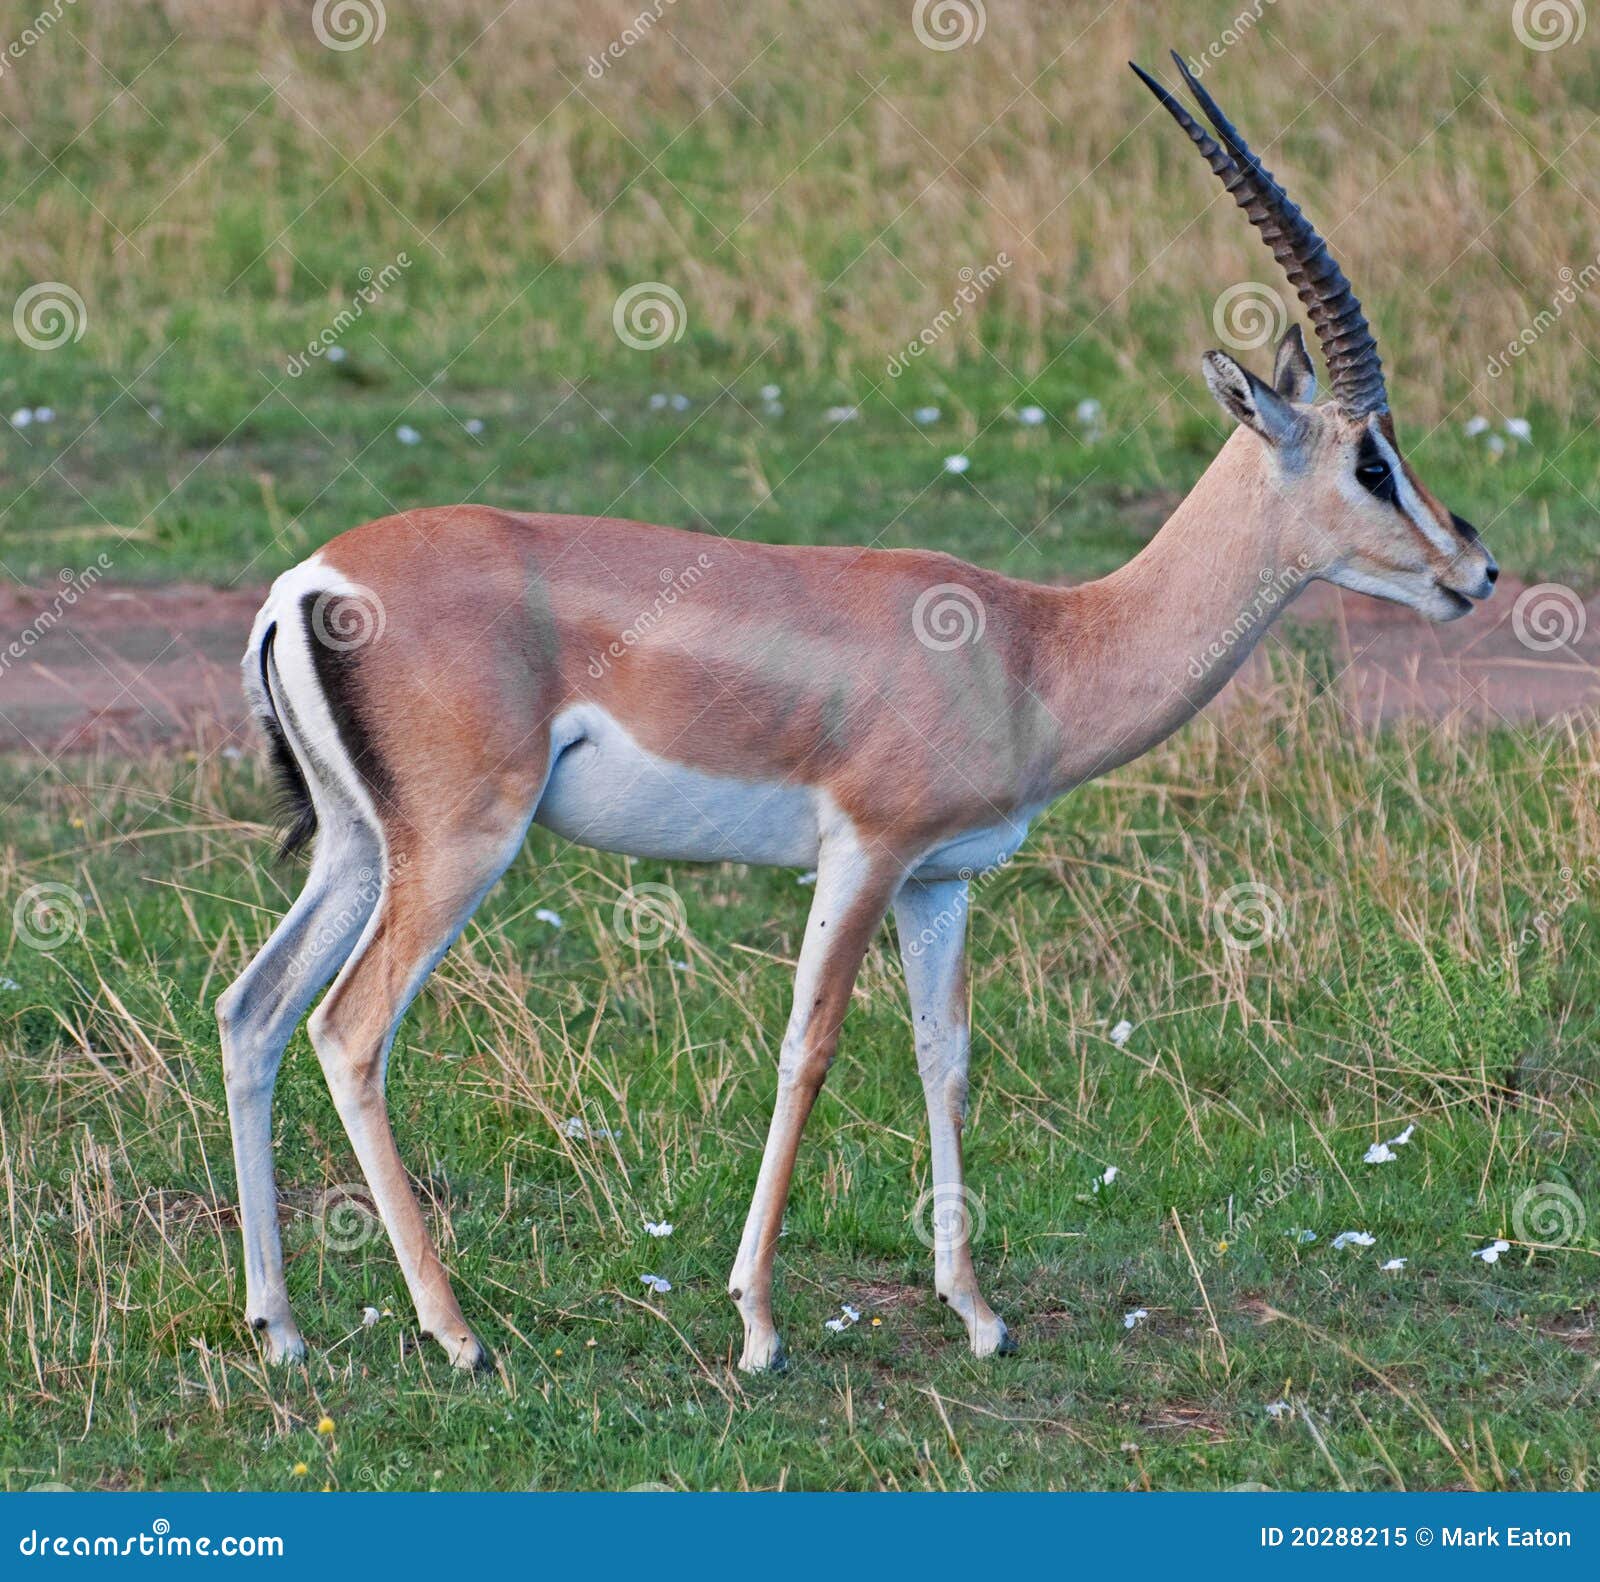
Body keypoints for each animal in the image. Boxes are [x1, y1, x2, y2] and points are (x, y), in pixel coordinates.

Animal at [218, 55, 1496, 1374]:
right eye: (1370, 461)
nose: (1475, 567)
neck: (1037, 644)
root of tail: (309, 581)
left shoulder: (942, 879)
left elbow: (947, 1058)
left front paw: (974, 1311)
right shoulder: (864, 851)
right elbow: (810, 1046)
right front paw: (757, 1323)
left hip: (363, 846)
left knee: (253, 1011)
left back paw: (281, 1327)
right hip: (461, 846)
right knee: (349, 1028)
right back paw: (457, 1333)